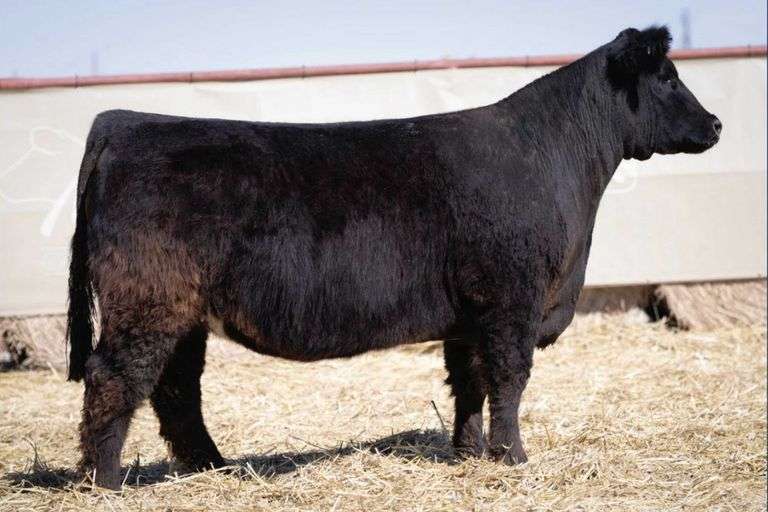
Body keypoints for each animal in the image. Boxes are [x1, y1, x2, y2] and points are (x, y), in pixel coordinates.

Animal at [66, 26, 721, 489]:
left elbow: (470, 383)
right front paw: (513, 458)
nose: (715, 123)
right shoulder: (512, 300)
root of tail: (124, 121)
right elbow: (509, 378)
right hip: (148, 302)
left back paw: (213, 468)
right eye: (667, 79)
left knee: (175, 389)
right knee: (114, 377)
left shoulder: (469, 314)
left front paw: (468, 454)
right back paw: (106, 480)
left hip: (182, 313)